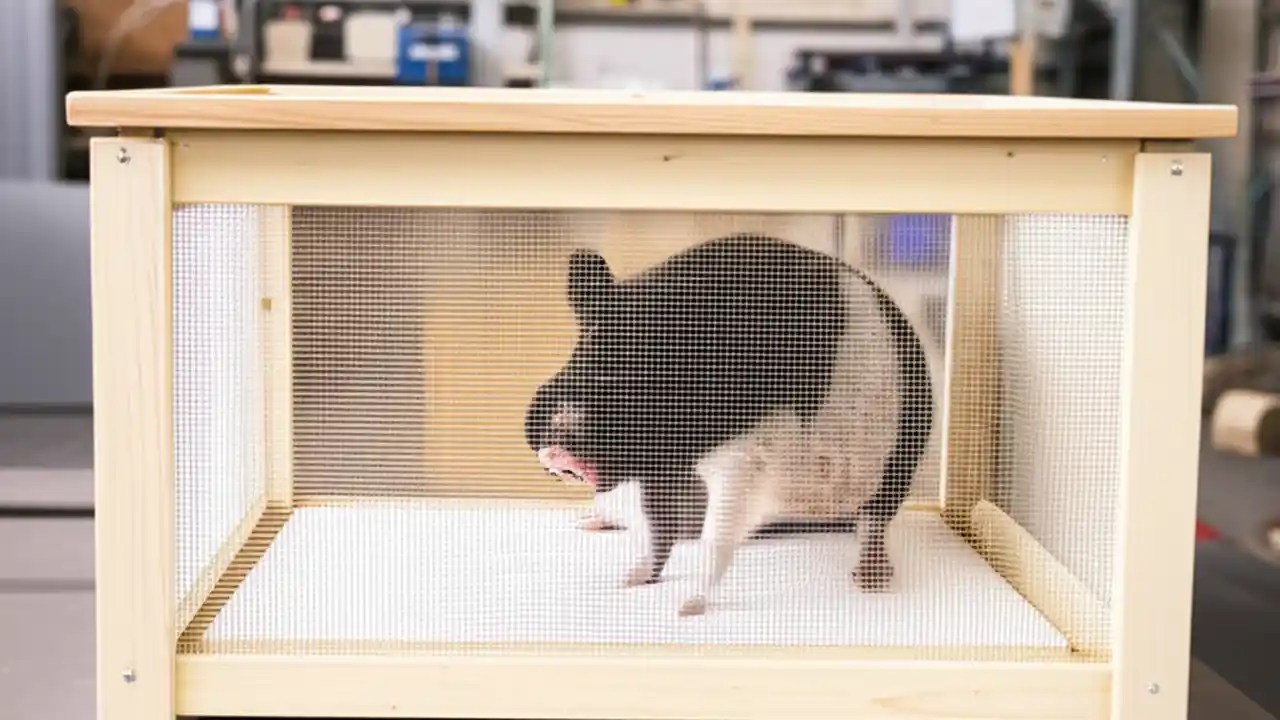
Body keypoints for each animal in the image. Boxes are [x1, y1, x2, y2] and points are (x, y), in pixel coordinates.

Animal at [524, 234, 933, 617]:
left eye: (627, 363)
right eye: (580, 349)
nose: (551, 451)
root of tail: (815, 517)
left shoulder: (746, 461)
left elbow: (715, 539)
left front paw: (685, 608)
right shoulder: (661, 471)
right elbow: (660, 531)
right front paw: (628, 581)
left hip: (898, 466)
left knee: (873, 522)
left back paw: (872, 580)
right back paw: (589, 523)